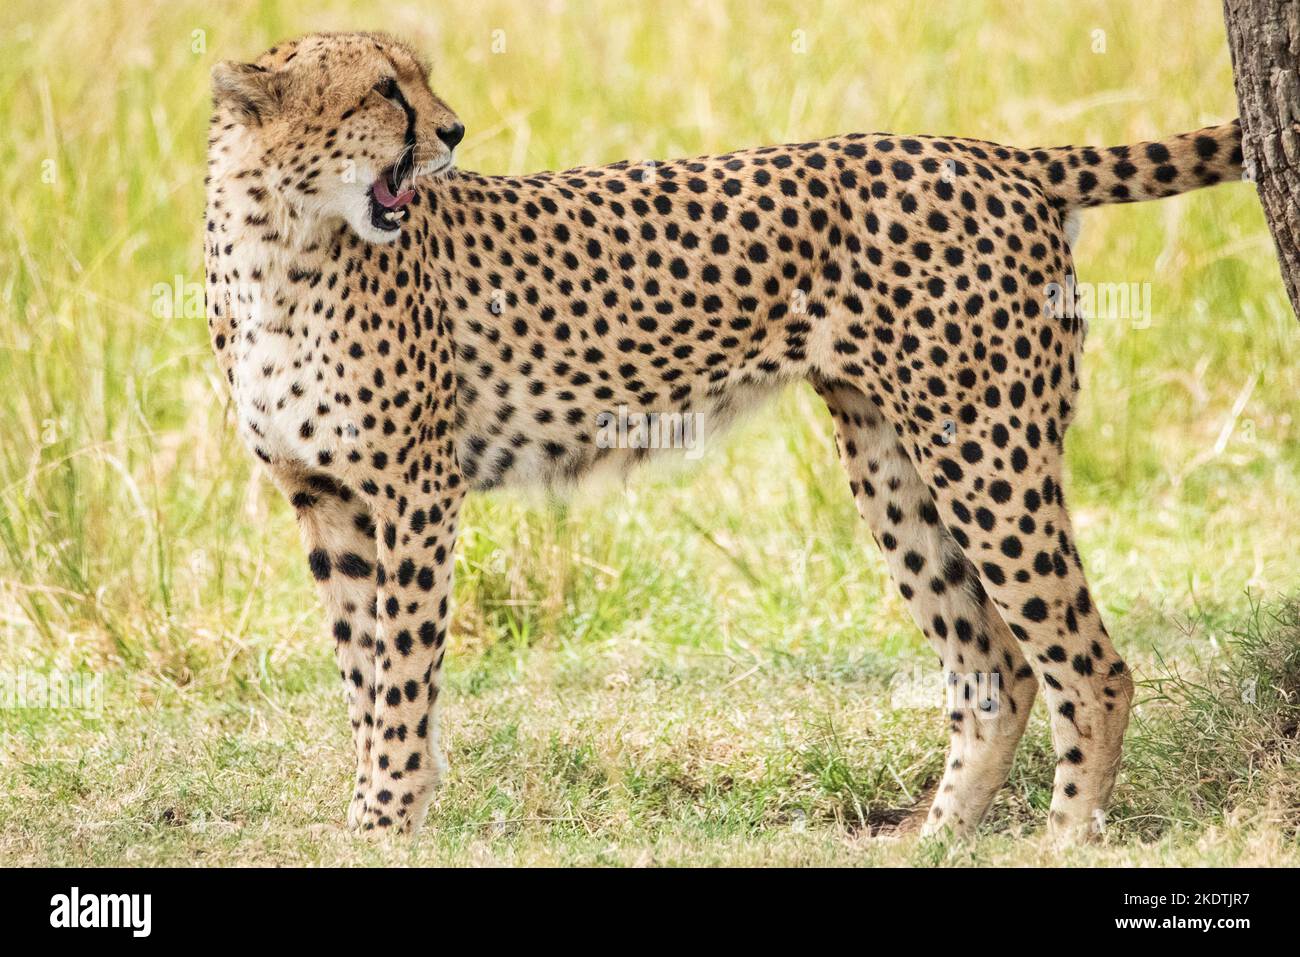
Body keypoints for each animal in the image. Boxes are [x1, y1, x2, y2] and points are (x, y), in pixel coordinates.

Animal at [204, 30, 1246, 842]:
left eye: (418, 80)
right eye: (385, 88)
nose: (455, 132)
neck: (281, 243)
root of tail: (997, 154)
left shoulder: (417, 489)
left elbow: (402, 667)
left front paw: (388, 813)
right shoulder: (325, 497)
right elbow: (362, 665)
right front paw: (374, 810)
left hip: (982, 446)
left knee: (1091, 665)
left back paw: (1064, 837)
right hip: (892, 462)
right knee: (996, 664)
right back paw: (937, 837)